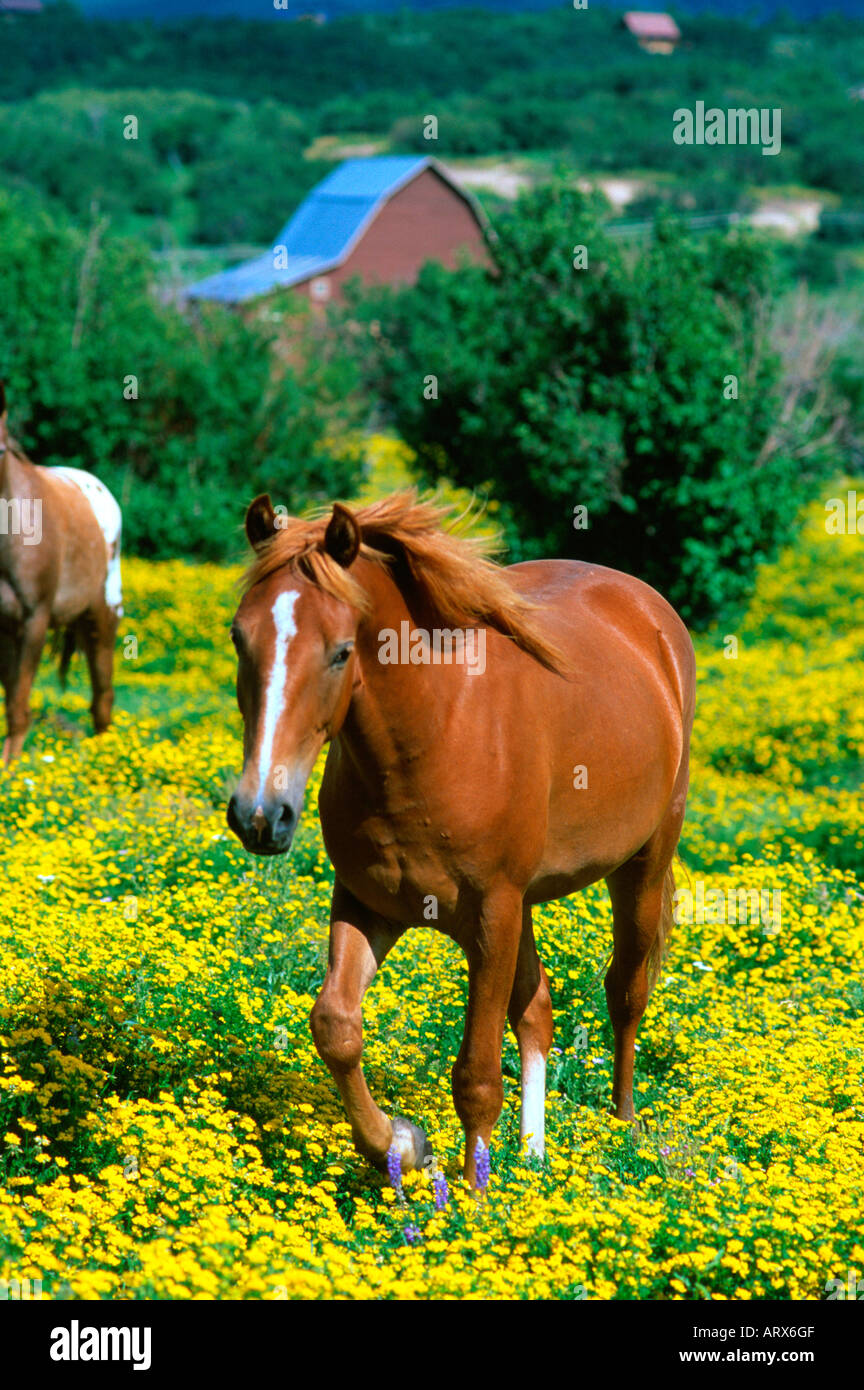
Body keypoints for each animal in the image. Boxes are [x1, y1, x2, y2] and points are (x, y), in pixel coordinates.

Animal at [227, 491, 695, 1185]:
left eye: (340, 651)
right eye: (240, 637)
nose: (261, 815)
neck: (432, 733)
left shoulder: (491, 916)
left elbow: (475, 1077)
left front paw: (473, 1201)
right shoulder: (370, 904)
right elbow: (336, 1026)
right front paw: (401, 1144)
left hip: (639, 868)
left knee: (626, 992)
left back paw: (623, 1129)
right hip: (526, 905)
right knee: (538, 1009)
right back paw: (533, 1155)